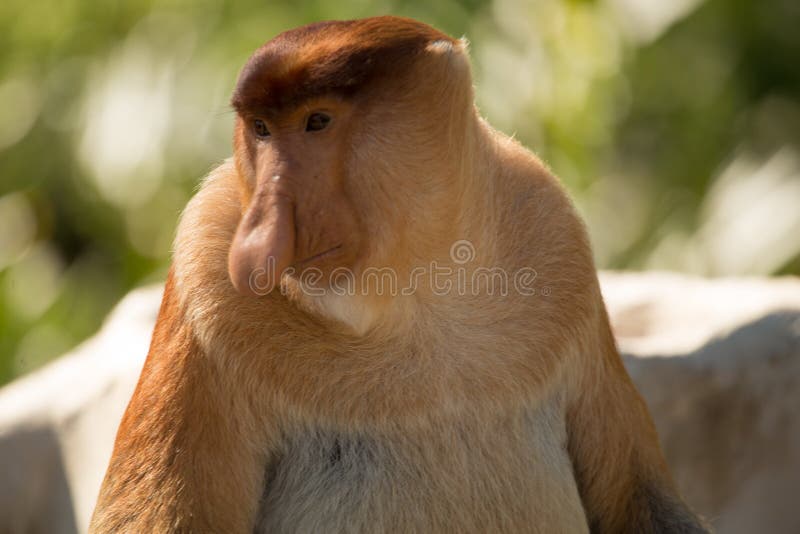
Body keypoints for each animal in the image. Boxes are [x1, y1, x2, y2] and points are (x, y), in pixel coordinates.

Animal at [90, 16, 708, 534]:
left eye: (317, 121)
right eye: (261, 129)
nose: (260, 237)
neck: (414, 294)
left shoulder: (557, 237)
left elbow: (639, 497)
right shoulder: (207, 269)